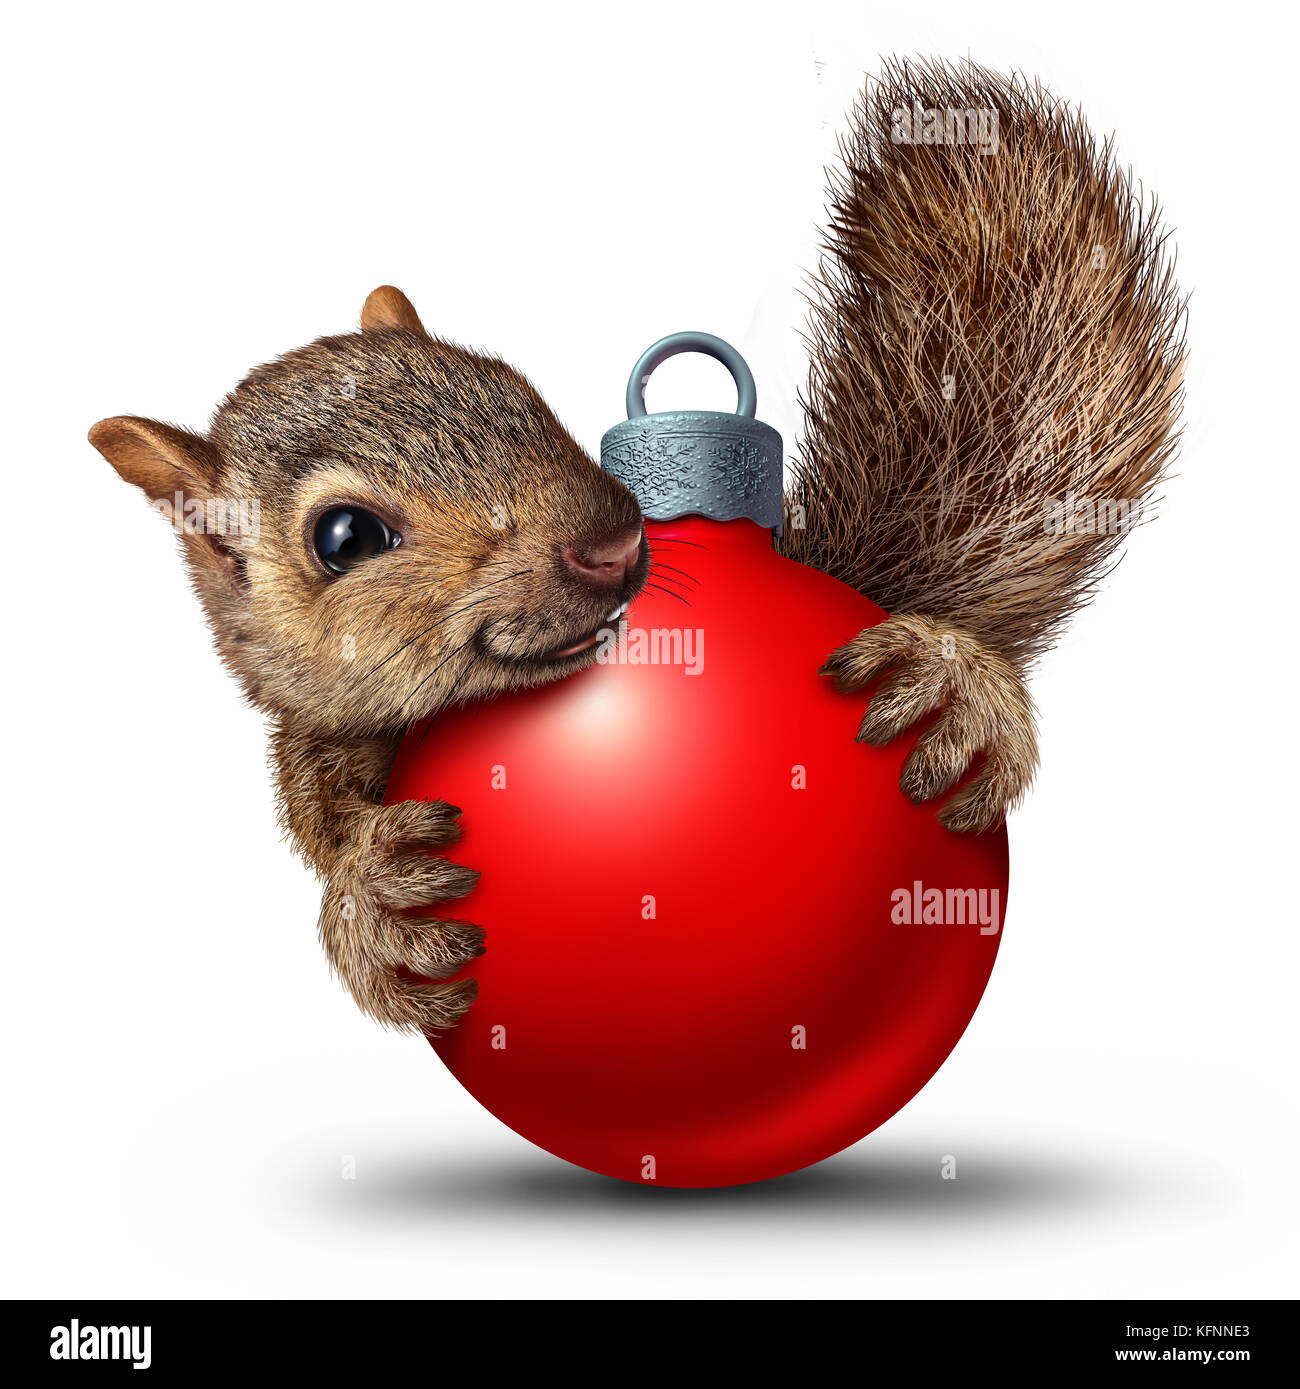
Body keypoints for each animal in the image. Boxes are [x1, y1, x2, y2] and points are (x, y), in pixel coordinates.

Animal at [89, 58, 1184, 1035]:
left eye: (515, 390)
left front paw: (949, 676)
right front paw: (376, 899)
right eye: (344, 535)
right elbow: (328, 827)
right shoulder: (323, 747)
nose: (607, 547)